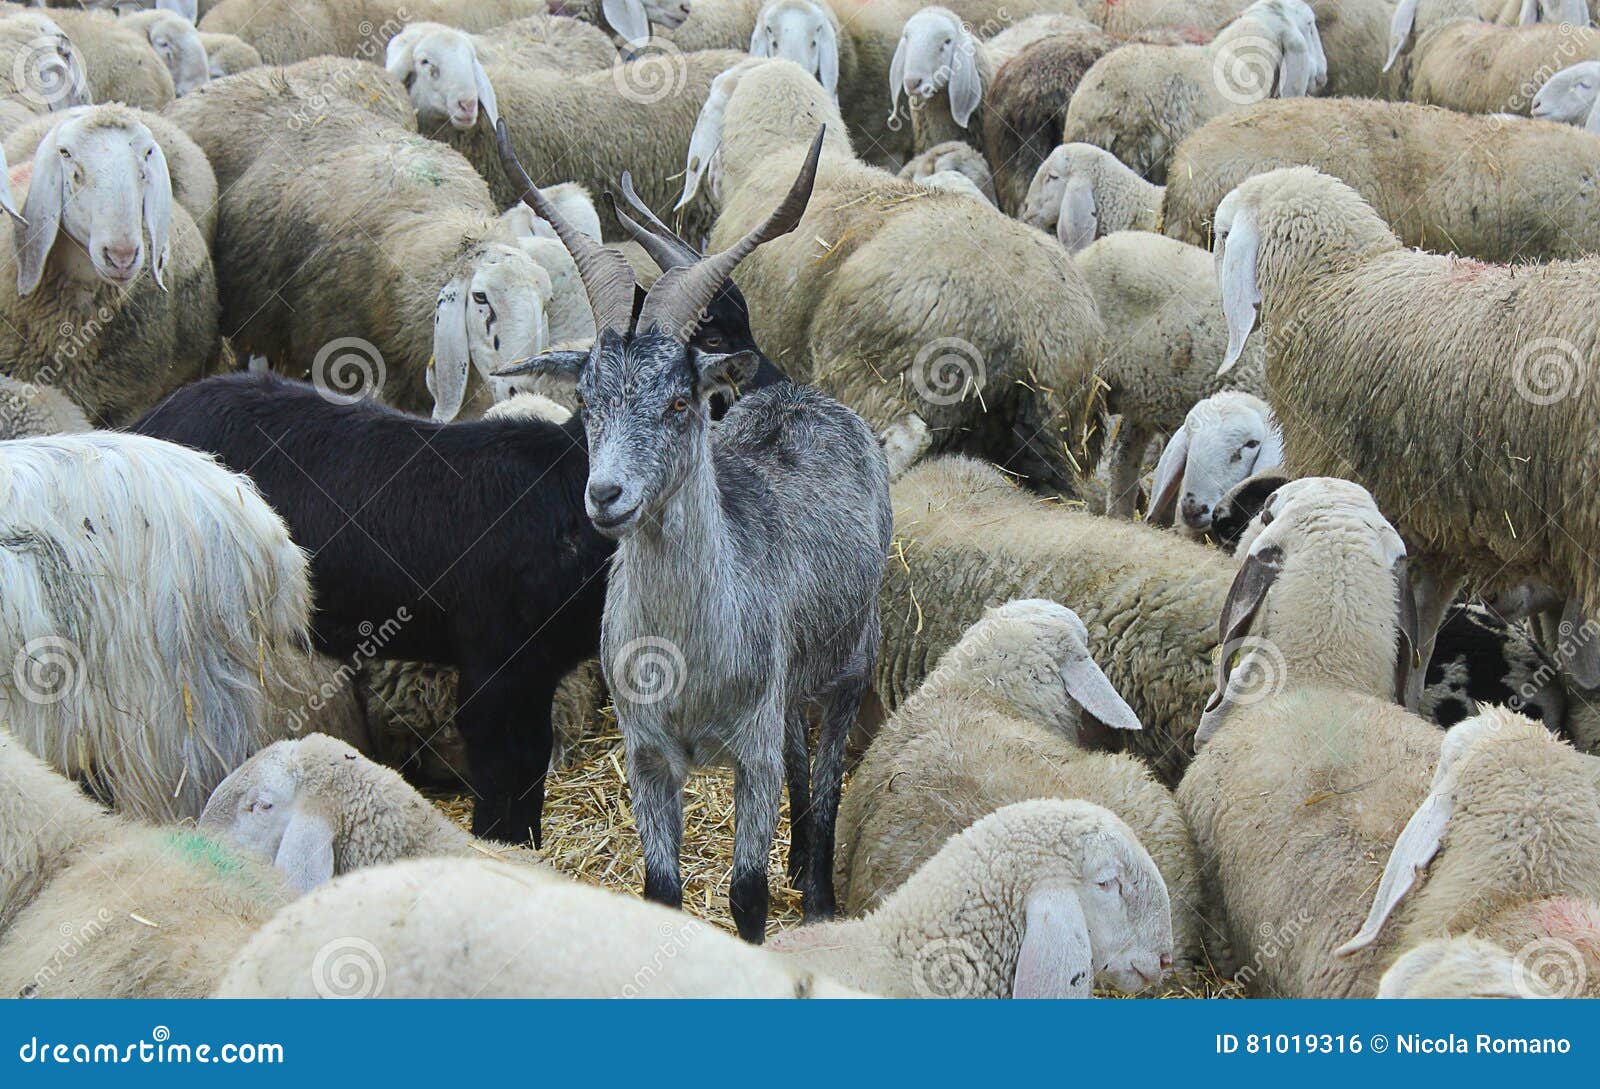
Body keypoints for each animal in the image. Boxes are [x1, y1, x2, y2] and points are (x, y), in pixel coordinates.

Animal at [492, 120, 892, 942]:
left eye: (680, 402)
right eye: (588, 397)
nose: (606, 494)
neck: (685, 657)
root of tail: (800, 393)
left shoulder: (751, 750)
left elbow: (745, 893)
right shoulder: (648, 753)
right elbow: (661, 890)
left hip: (851, 658)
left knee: (826, 772)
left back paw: (819, 893)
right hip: (787, 686)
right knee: (802, 755)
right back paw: (801, 859)